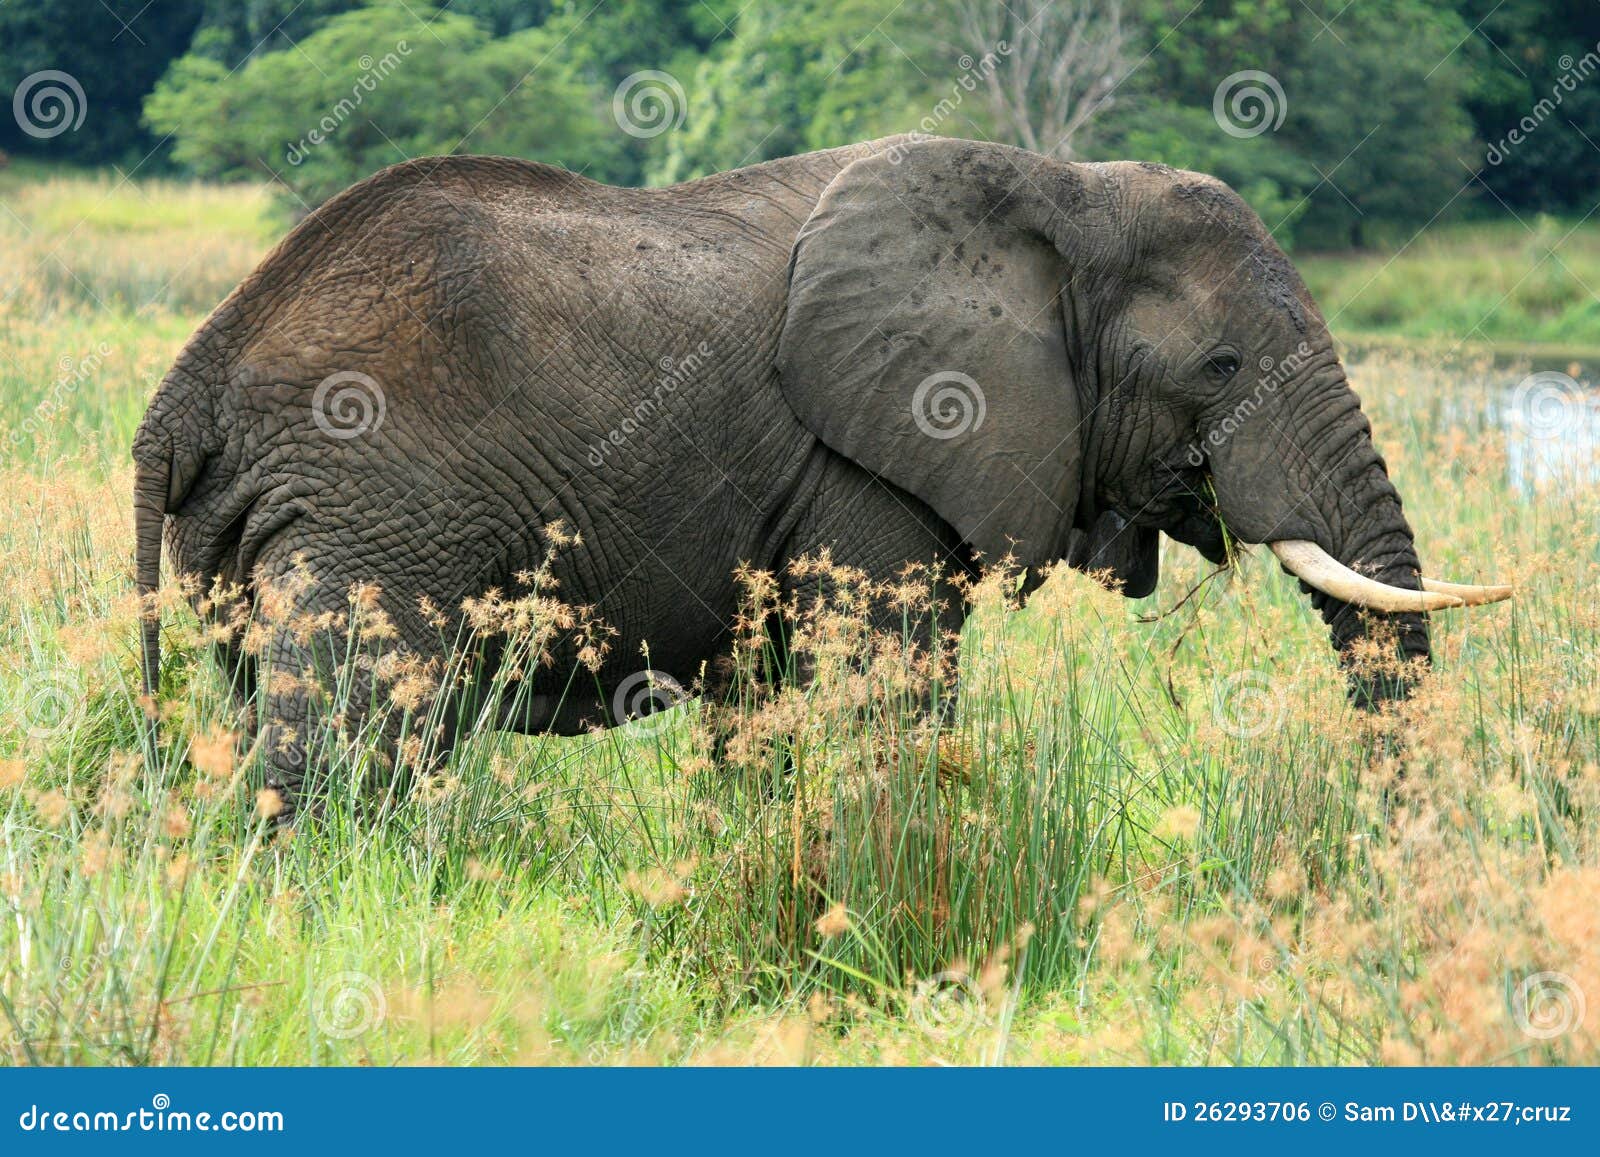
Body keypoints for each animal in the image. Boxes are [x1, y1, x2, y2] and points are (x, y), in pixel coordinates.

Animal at [133, 134, 1509, 817]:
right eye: (1221, 367)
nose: (1392, 842)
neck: (1060, 195)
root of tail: (188, 385)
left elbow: (767, 712)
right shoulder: (874, 463)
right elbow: (880, 693)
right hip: (370, 514)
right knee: (350, 738)